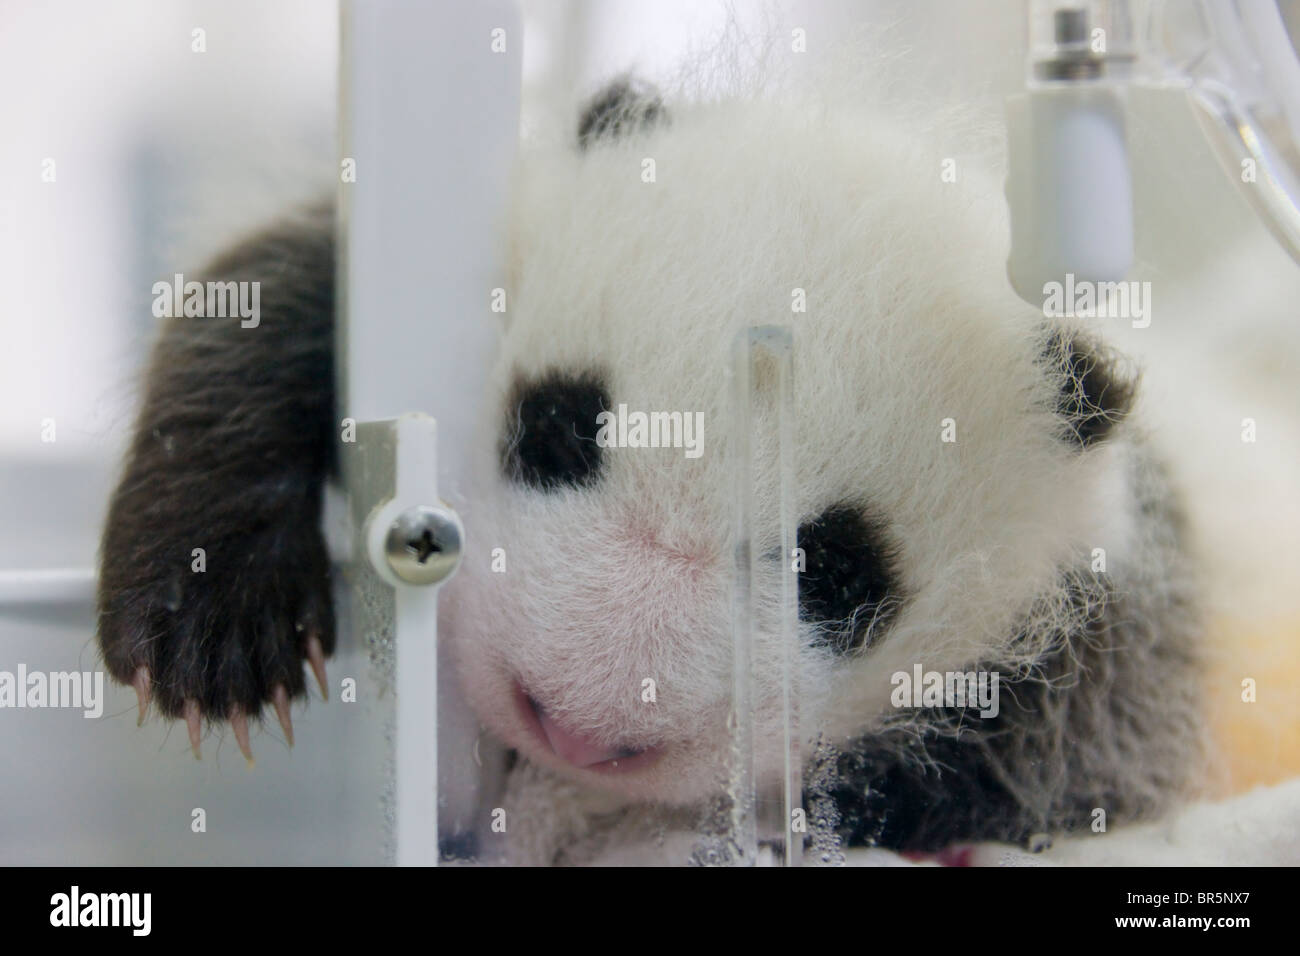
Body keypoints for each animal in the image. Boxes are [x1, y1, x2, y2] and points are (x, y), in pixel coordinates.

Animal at [96, 75, 1207, 866]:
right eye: (556, 426)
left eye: (833, 570)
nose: (575, 727)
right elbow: (269, 299)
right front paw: (214, 628)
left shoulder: (1120, 606)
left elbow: (1064, 768)